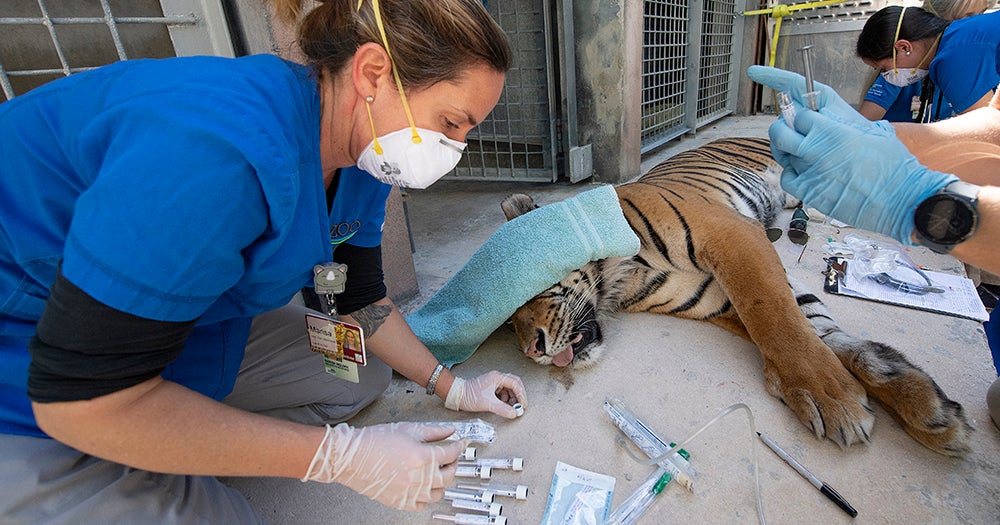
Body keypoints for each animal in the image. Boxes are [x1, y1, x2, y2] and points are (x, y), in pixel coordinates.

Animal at [500, 137, 972, 457]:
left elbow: (776, 320)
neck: (623, 278)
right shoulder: (714, 296)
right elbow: (818, 333)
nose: (533, 349)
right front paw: (930, 411)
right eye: (507, 324)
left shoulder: (731, 236)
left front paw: (830, 400)